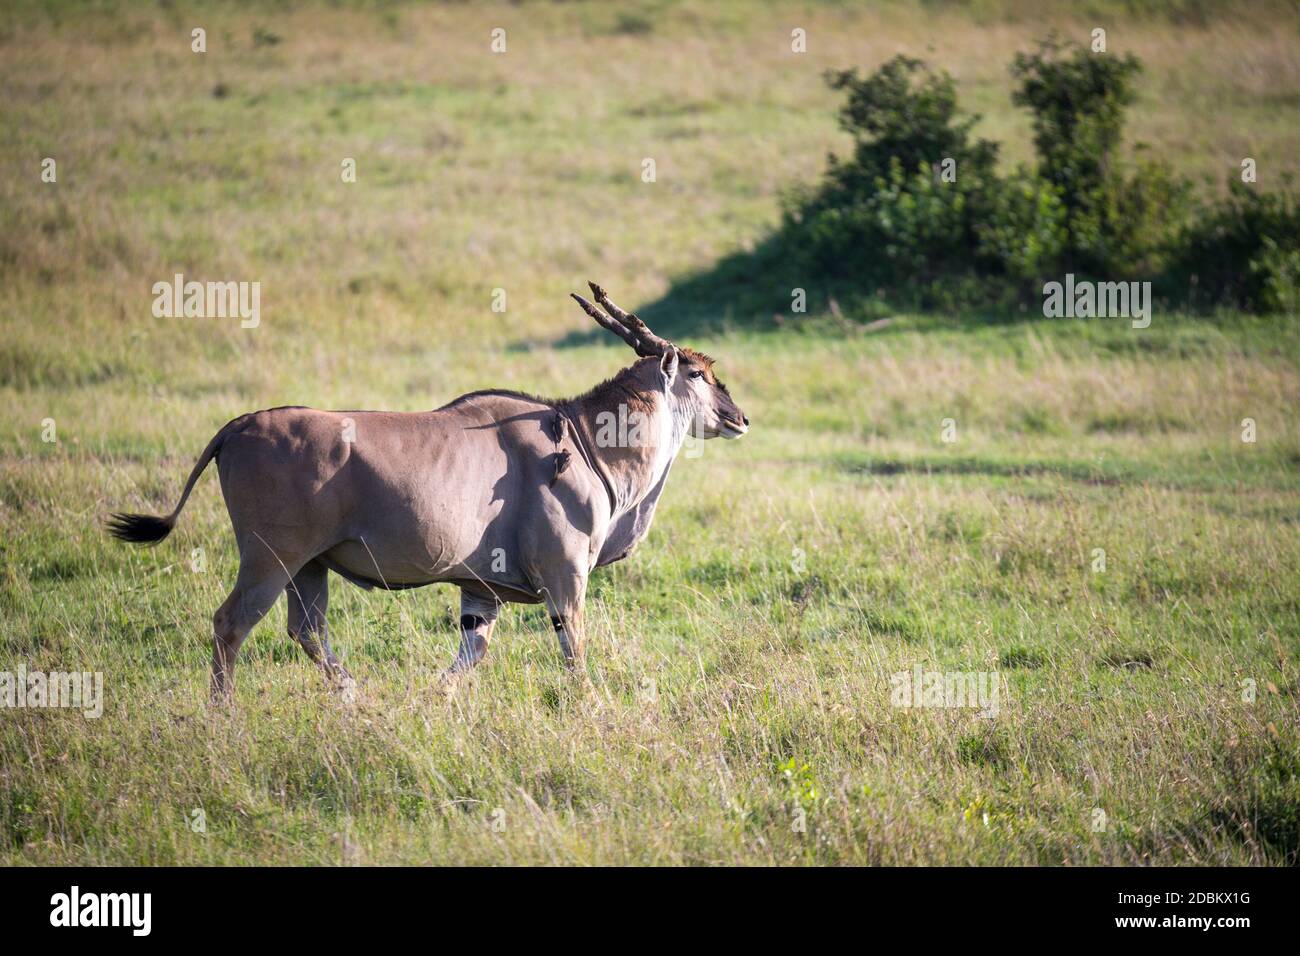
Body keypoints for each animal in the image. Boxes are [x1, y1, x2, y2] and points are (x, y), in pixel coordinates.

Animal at [109, 283, 749, 700]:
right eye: (697, 373)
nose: (739, 416)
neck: (584, 439)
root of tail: (237, 426)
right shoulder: (565, 579)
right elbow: (574, 655)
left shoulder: (479, 592)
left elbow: (468, 657)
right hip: (270, 559)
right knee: (230, 625)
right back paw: (224, 714)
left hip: (309, 566)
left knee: (305, 630)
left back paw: (353, 696)